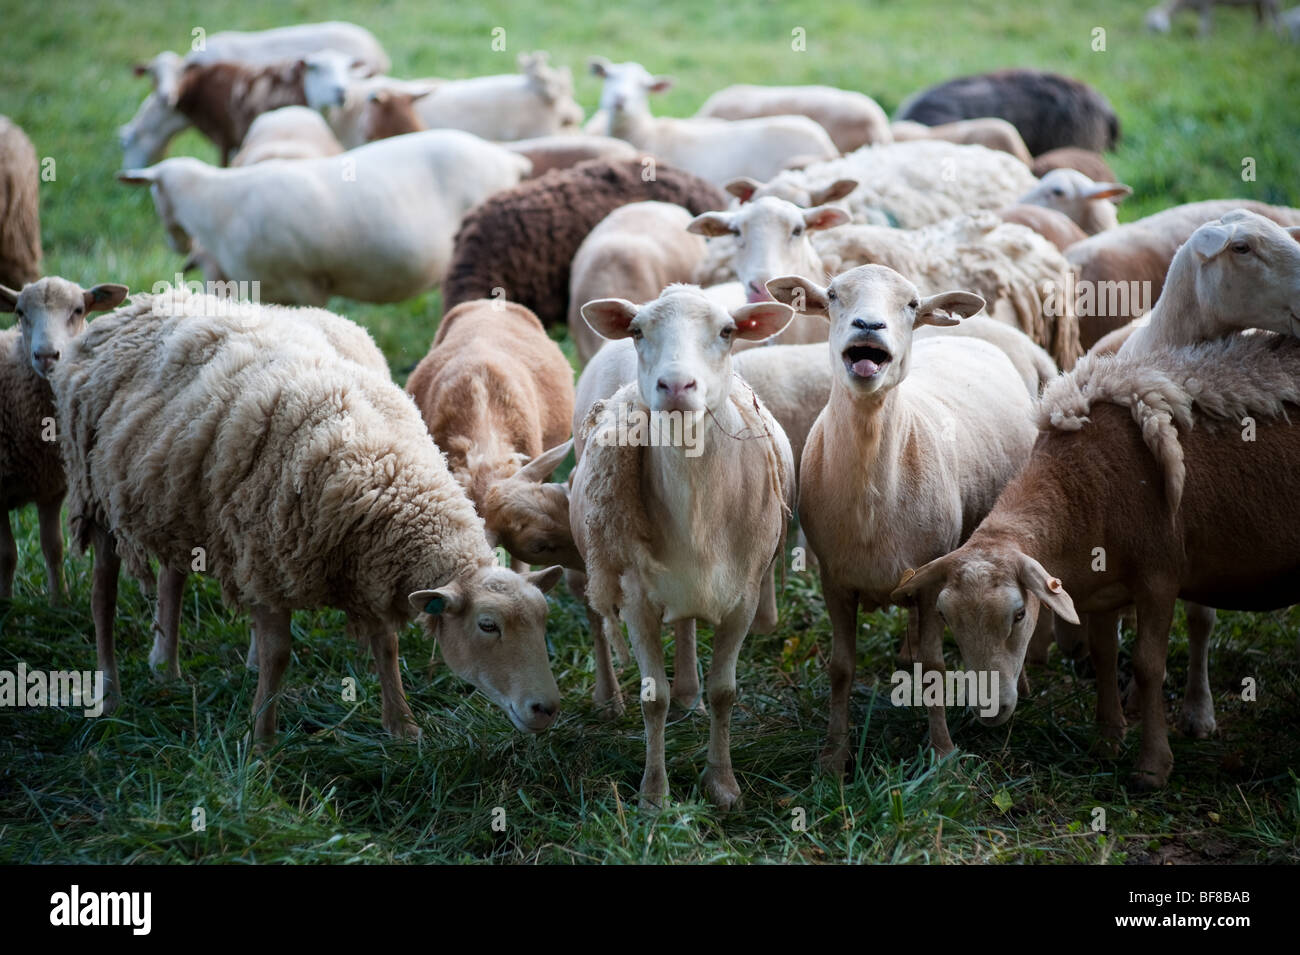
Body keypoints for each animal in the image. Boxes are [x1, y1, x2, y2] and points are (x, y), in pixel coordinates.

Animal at [0, 279, 128, 602]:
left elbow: (53, 547)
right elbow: (7, 554)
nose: (46, 356)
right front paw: (5, 603)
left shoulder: (51, 488)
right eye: (20, 312)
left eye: (79, 310)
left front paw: (60, 601)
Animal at [571, 286, 796, 808]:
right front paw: (654, 796)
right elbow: (653, 699)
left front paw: (723, 784)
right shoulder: (636, 599)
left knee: (689, 623)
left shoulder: (744, 596)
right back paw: (609, 699)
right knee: (596, 614)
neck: (698, 511)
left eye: (728, 331)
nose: (675, 386)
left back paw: (689, 692)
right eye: (638, 332)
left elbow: (724, 693)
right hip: (597, 552)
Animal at [764, 265, 1039, 773]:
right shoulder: (834, 579)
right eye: (832, 295)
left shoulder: (934, 581)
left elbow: (936, 665)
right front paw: (834, 756)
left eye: (911, 303)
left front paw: (943, 753)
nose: (869, 325)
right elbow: (841, 667)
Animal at [894, 334, 1300, 787]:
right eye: (946, 618)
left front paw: (1151, 766)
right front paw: (1106, 741)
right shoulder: (1105, 587)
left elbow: (1147, 666)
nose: (988, 709)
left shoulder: (1159, 578)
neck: (1086, 486)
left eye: (1019, 615)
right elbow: (1104, 654)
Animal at [1146, 0, 1280, 34]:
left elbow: (1205, 27)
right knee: (1261, 20)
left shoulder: (1206, 5)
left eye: (1153, 25)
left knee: (1277, 19)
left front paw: (1203, 45)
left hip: (1270, 2)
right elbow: (1209, 25)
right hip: (1257, 3)